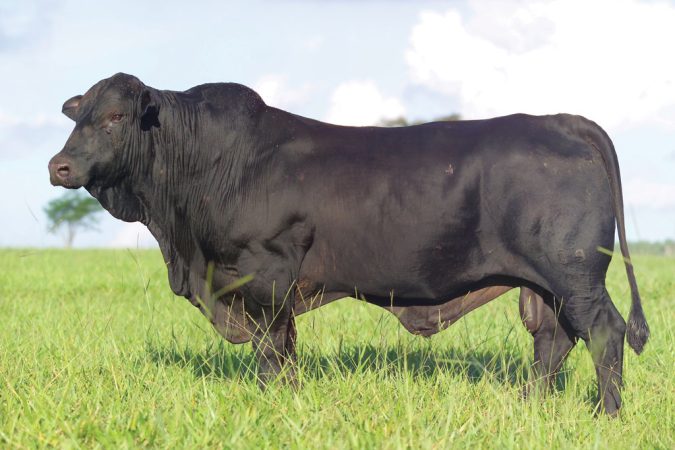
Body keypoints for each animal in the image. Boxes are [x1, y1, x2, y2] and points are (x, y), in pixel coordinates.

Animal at [48, 73, 649, 415]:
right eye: (78, 118)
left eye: (116, 117)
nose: (60, 166)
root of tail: (561, 119)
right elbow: (279, 349)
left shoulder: (265, 275)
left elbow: (272, 349)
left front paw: (276, 402)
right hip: (544, 283)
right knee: (553, 340)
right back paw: (528, 407)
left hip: (575, 274)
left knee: (603, 332)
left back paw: (606, 415)